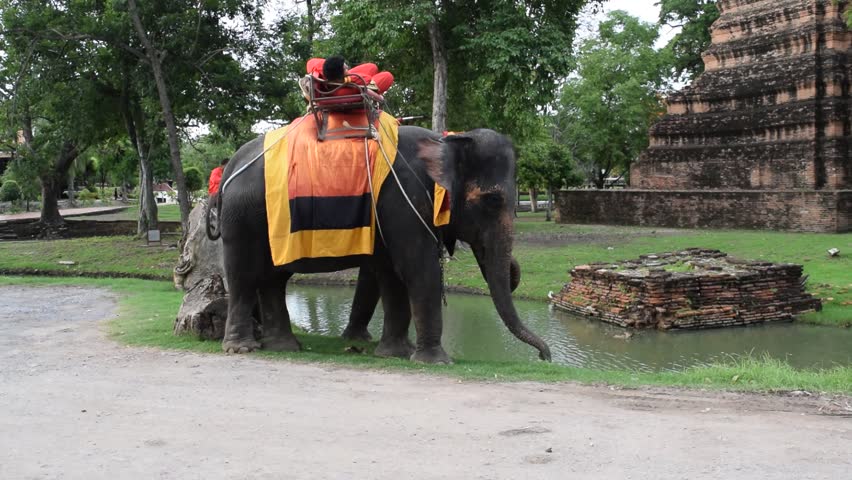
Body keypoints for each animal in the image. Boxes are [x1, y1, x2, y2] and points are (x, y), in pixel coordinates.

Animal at [209, 125, 551, 363]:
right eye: (492, 200)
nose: (544, 357)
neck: (444, 141)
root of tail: (228, 169)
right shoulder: (404, 200)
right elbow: (418, 270)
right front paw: (434, 361)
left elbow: (391, 274)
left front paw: (396, 353)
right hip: (242, 220)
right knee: (243, 276)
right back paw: (241, 349)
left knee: (274, 279)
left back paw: (284, 347)